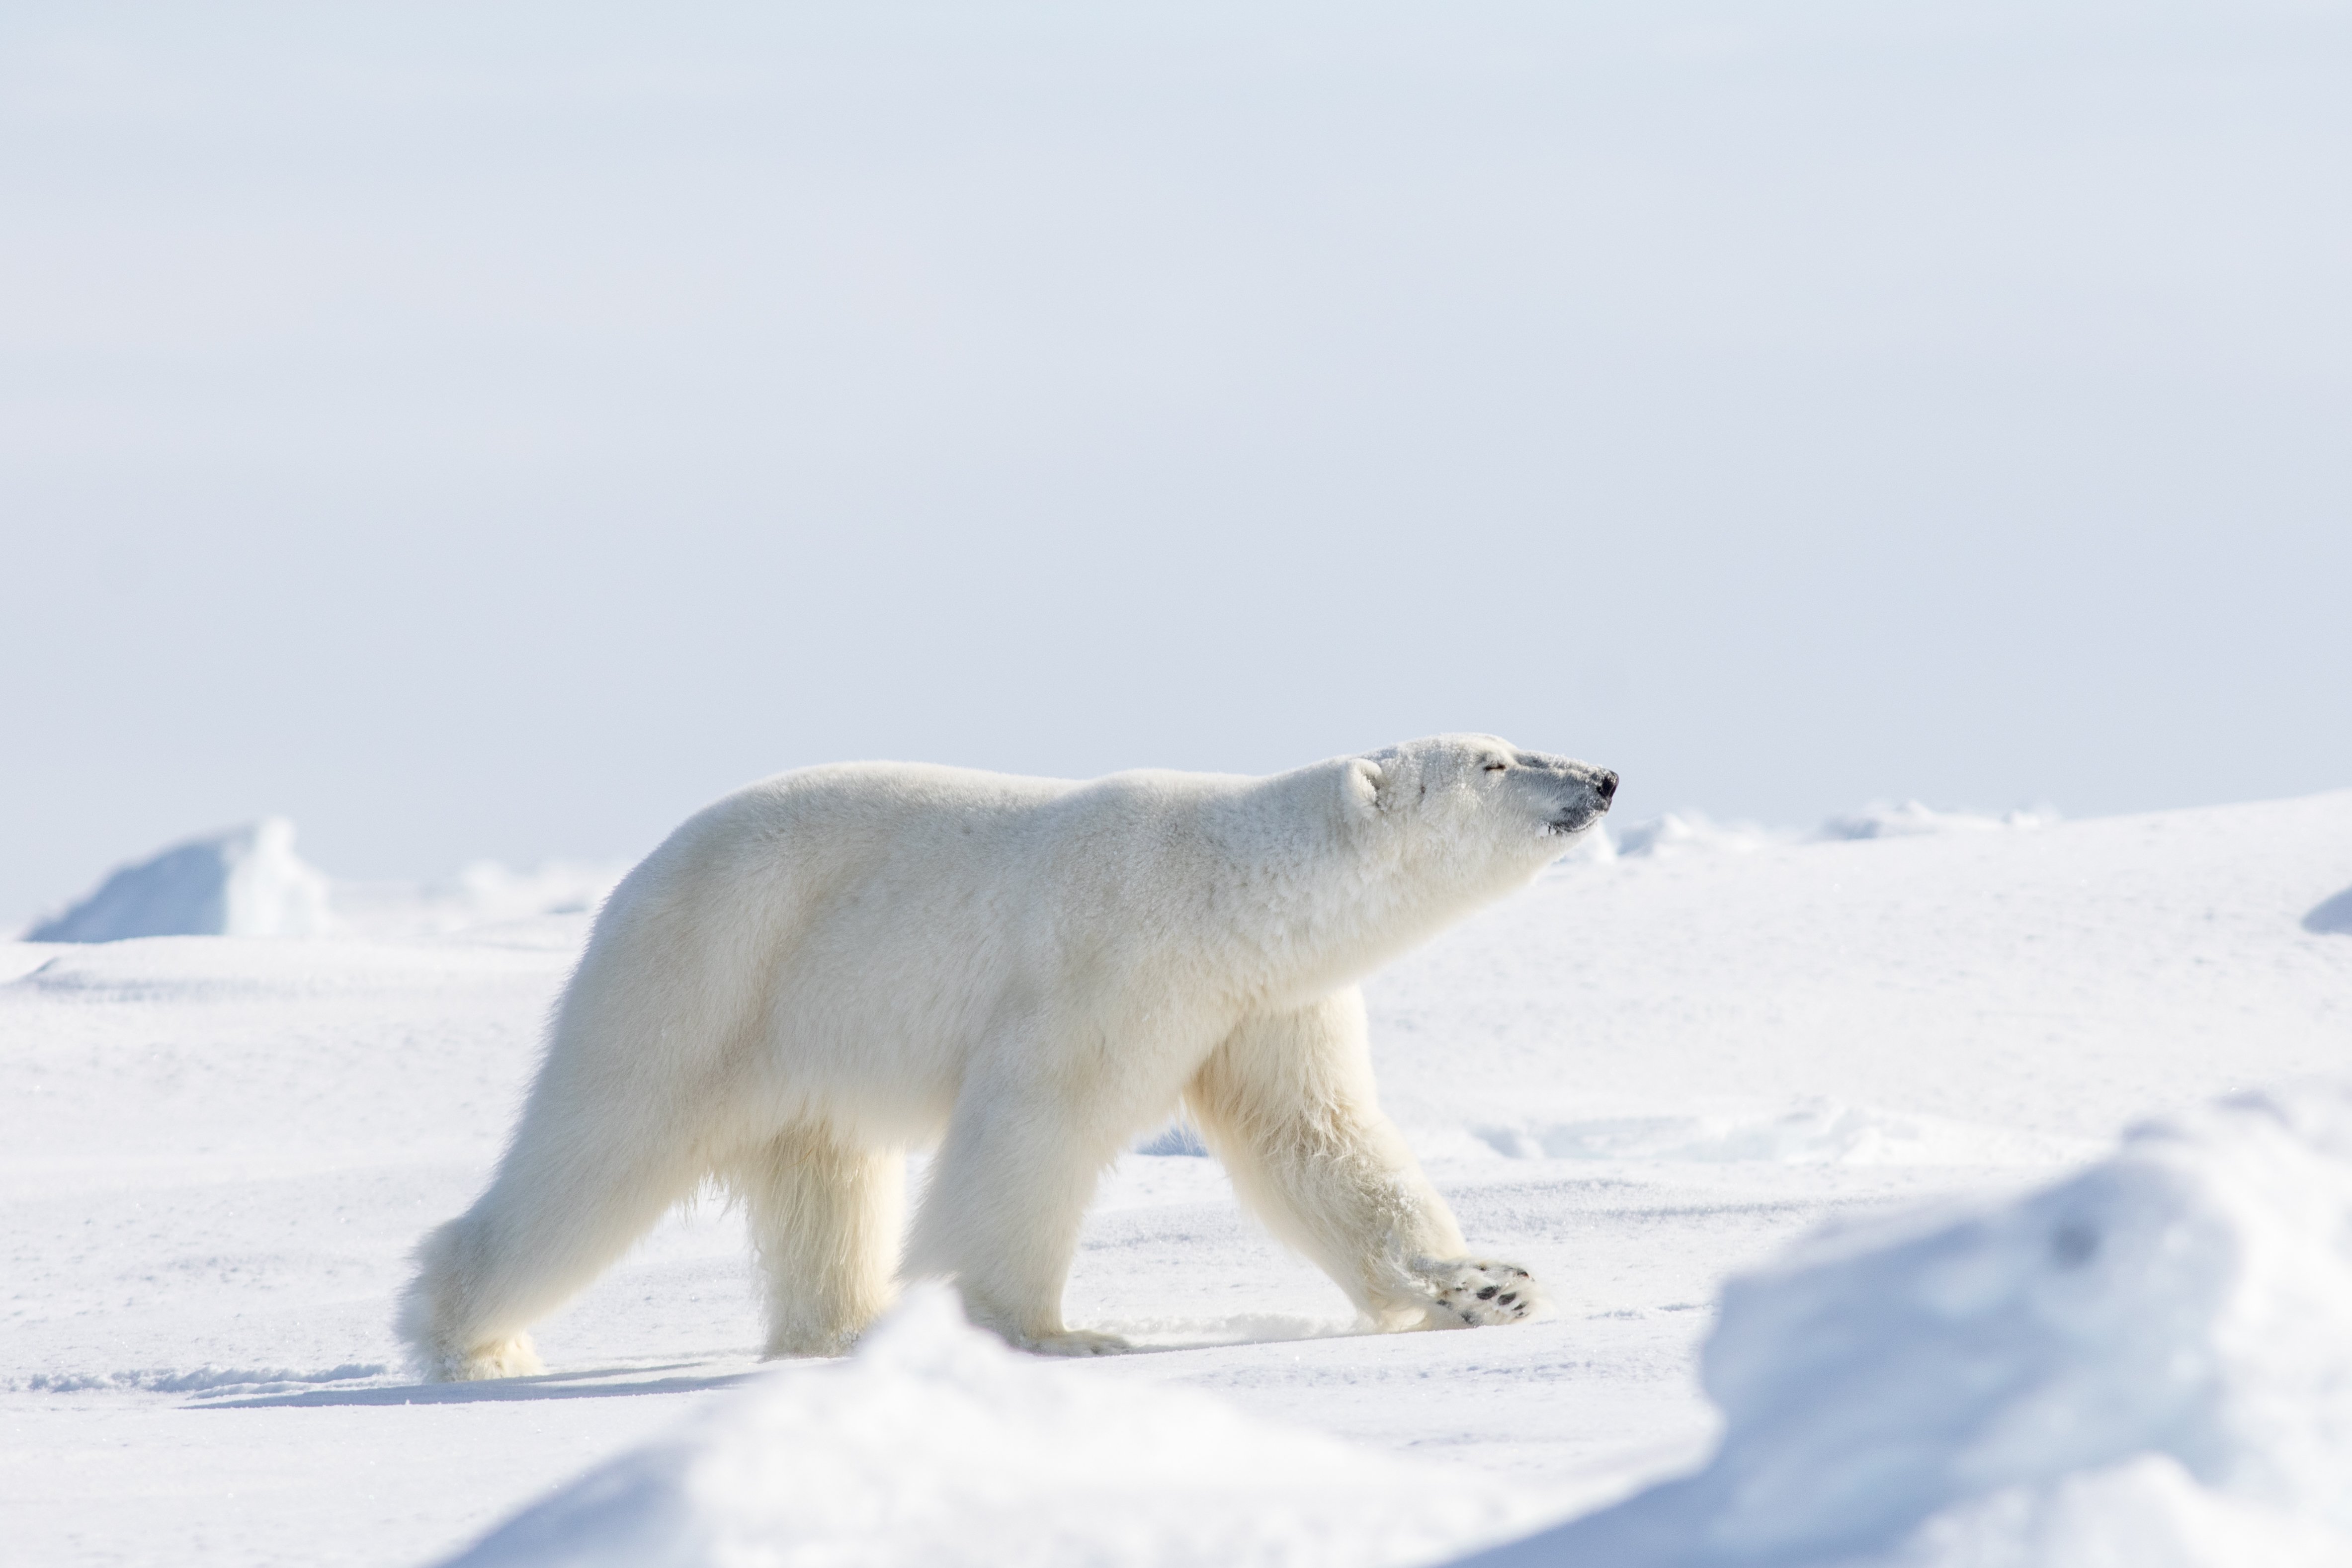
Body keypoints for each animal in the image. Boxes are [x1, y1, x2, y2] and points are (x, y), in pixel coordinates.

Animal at [399, 734, 1617, 1378]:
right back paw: (471, 1342)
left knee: (822, 1177)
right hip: (704, 980)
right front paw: (1049, 1332)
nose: (1603, 777)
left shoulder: (1261, 1004)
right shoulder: (1110, 960)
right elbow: (1034, 1130)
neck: (1230, 891)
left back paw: (836, 1330)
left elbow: (1316, 1139)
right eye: (1497, 758)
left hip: (795, 1041)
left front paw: (1485, 1285)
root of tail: (637, 876)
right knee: (599, 1151)